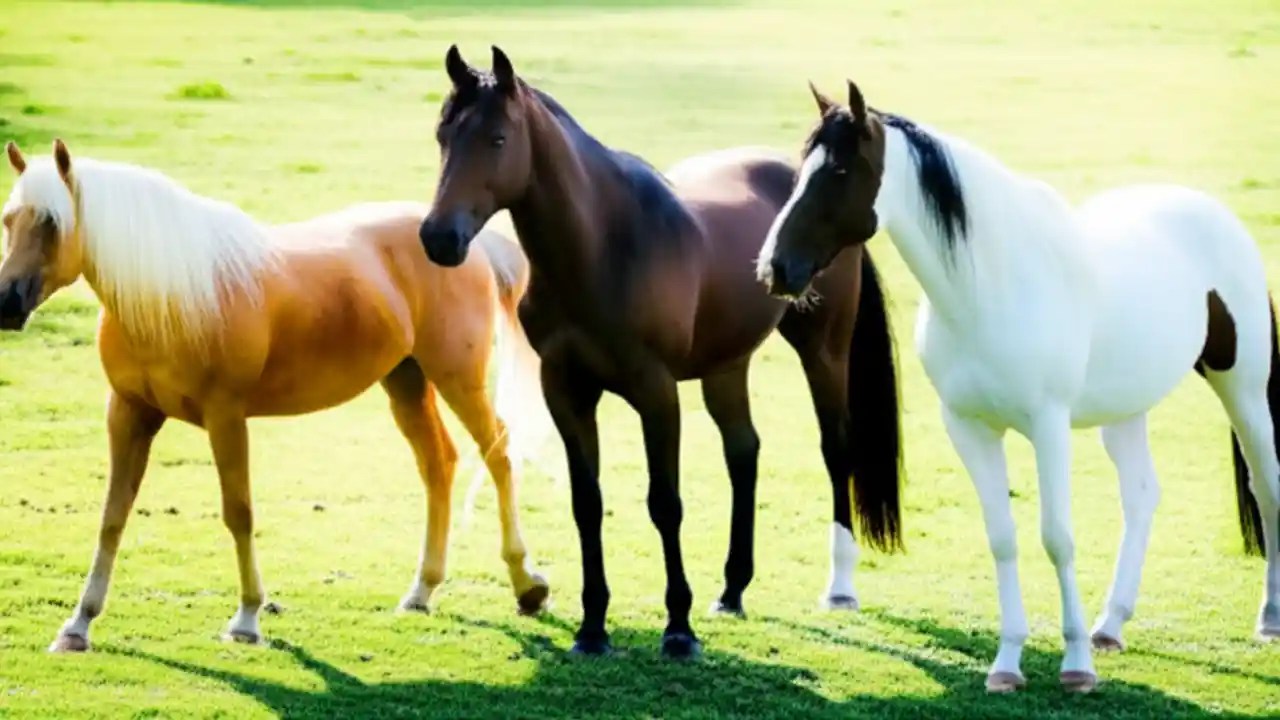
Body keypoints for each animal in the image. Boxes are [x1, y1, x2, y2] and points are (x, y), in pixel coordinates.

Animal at [0, 140, 553, 652]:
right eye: (9, 219)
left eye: (51, 223)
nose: (7, 301)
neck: (169, 294)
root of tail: (470, 246)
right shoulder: (128, 413)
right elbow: (112, 516)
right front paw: (78, 625)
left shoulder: (226, 417)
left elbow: (239, 512)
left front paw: (246, 619)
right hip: (407, 382)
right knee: (438, 464)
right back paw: (421, 591)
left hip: (457, 378)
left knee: (499, 452)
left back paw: (526, 585)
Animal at [416, 45, 904, 659]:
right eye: (442, 134)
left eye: (498, 138)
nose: (438, 238)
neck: (604, 248)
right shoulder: (567, 392)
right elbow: (587, 504)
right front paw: (592, 627)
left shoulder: (656, 392)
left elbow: (664, 504)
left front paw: (678, 627)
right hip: (726, 367)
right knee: (744, 452)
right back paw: (732, 589)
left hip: (824, 351)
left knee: (835, 450)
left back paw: (838, 590)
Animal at [758, 80, 1280, 693]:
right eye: (801, 169)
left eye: (840, 171)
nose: (773, 269)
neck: (991, 288)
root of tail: (1214, 216)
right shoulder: (969, 429)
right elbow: (1002, 537)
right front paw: (1007, 663)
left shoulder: (1049, 427)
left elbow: (1056, 537)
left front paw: (1075, 665)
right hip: (1126, 410)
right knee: (1142, 495)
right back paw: (1111, 624)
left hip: (1243, 390)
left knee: (1267, 489)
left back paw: (1268, 618)